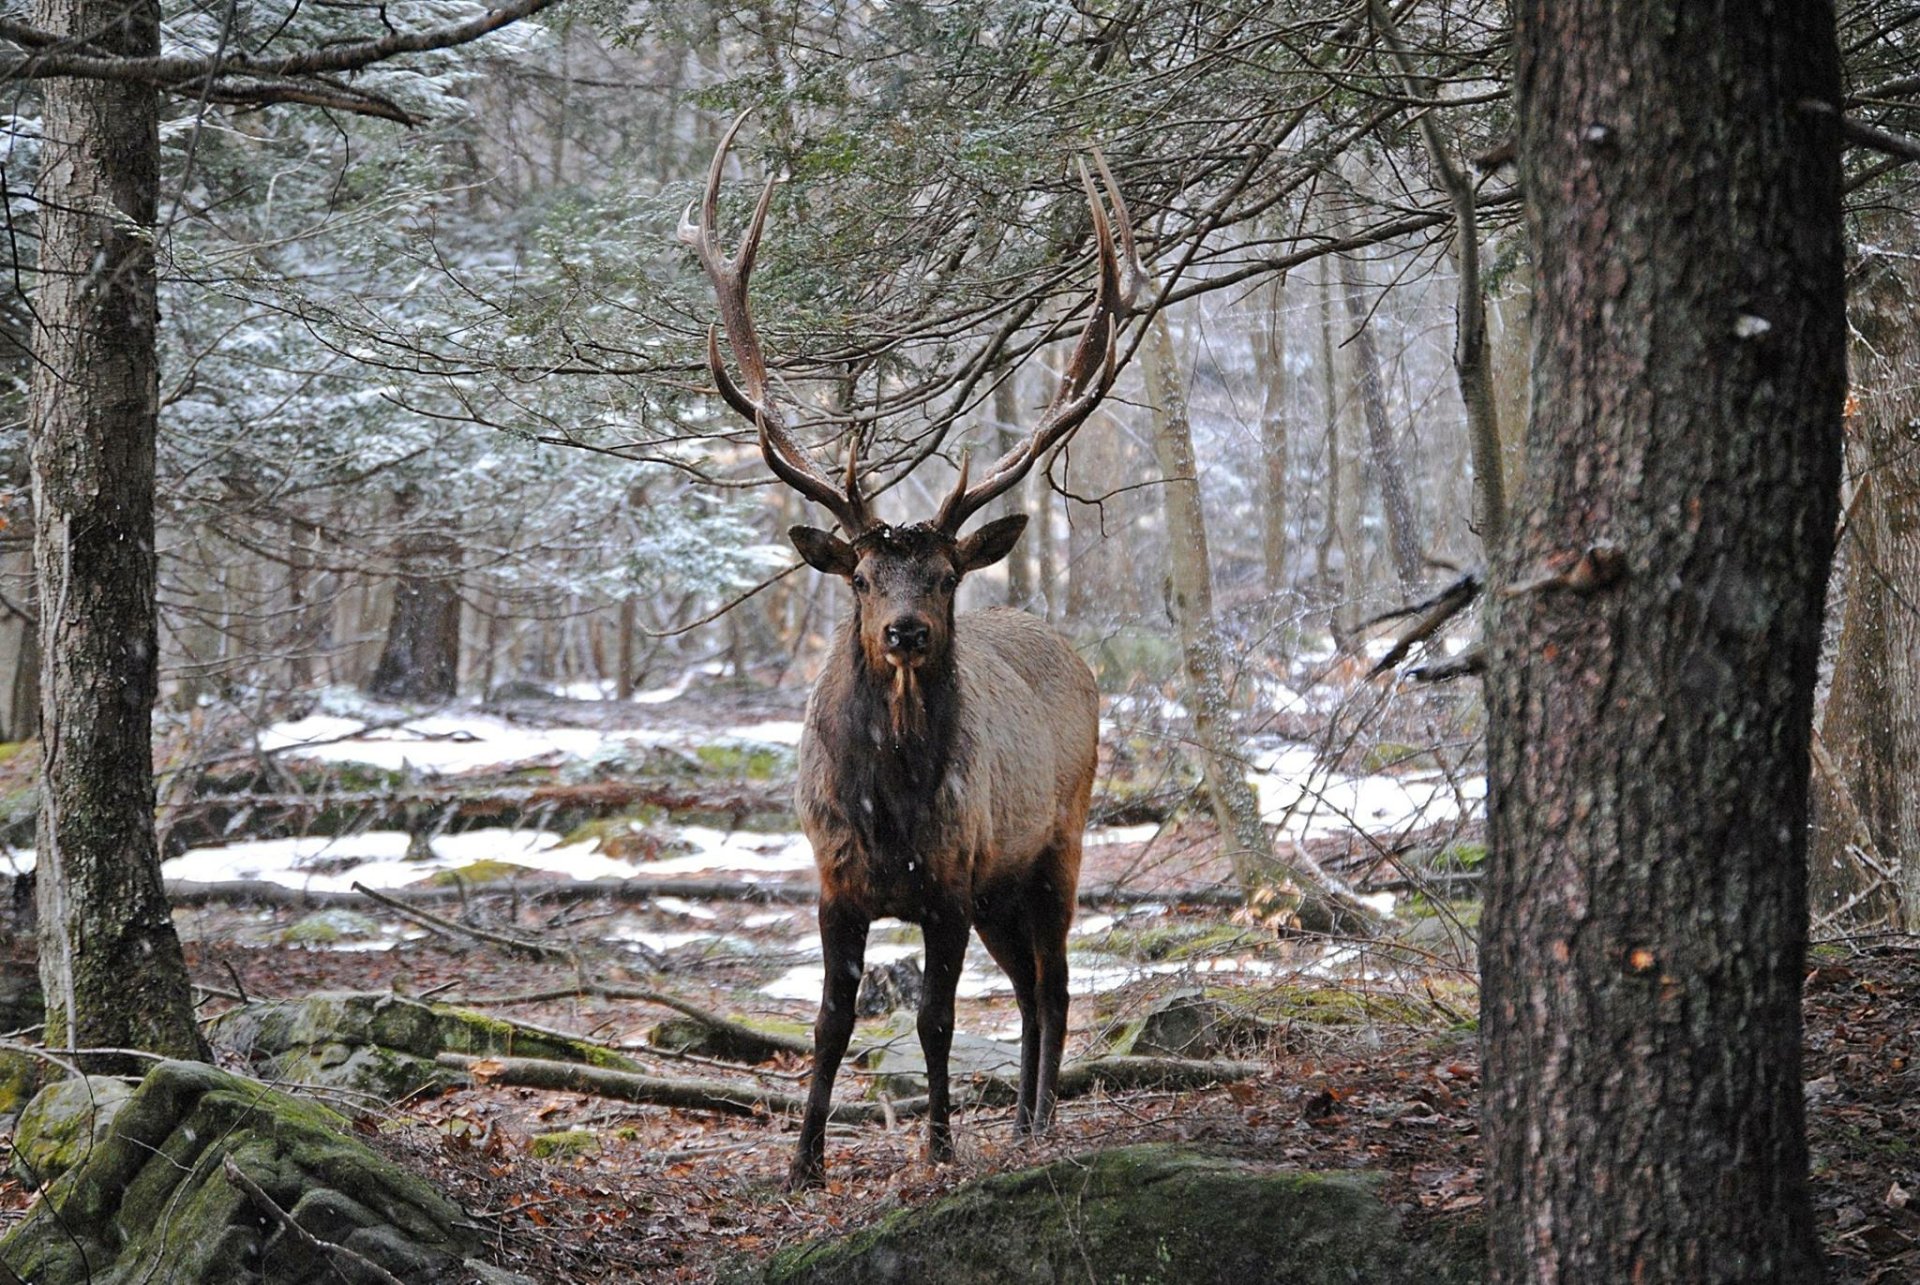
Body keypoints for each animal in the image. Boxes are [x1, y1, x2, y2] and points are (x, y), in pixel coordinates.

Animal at [680, 115, 1144, 1190]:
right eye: (858, 574)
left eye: (942, 574)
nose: (905, 629)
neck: (888, 807)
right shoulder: (832, 880)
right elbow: (829, 1020)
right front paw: (804, 1162)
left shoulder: (948, 879)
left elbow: (934, 1019)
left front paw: (936, 1147)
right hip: (1002, 886)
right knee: (1030, 982)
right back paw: (1019, 1122)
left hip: (1052, 840)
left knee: (1056, 980)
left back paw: (1035, 1121)